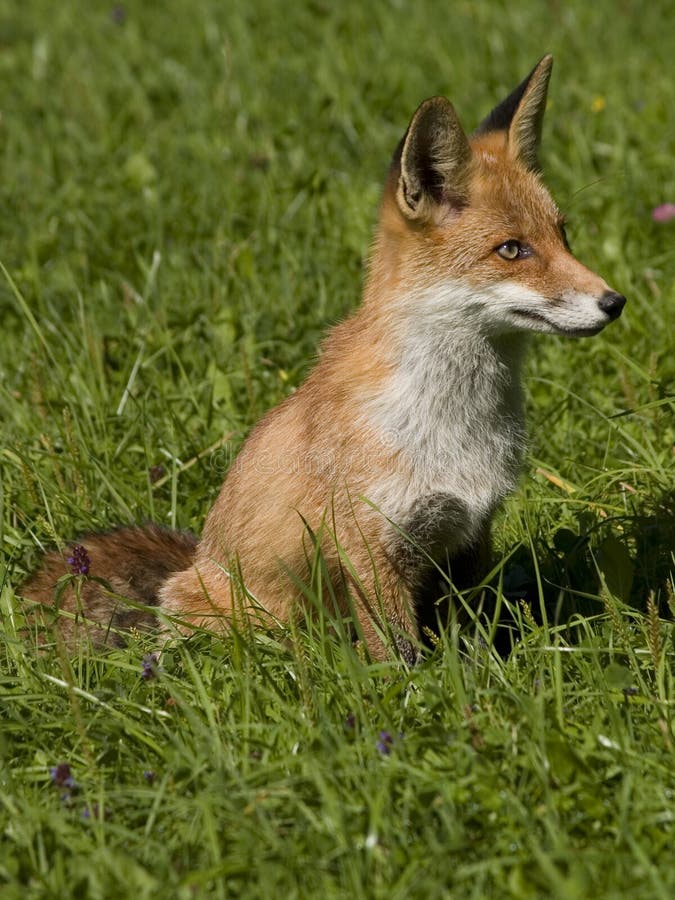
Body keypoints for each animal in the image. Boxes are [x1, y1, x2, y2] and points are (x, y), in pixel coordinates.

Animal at [22, 56, 626, 661]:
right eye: (512, 250)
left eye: (563, 235)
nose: (614, 302)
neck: (453, 421)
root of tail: (188, 566)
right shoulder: (369, 543)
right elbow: (401, 655)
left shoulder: (469, 531)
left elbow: (471, 633)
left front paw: (481, 674)